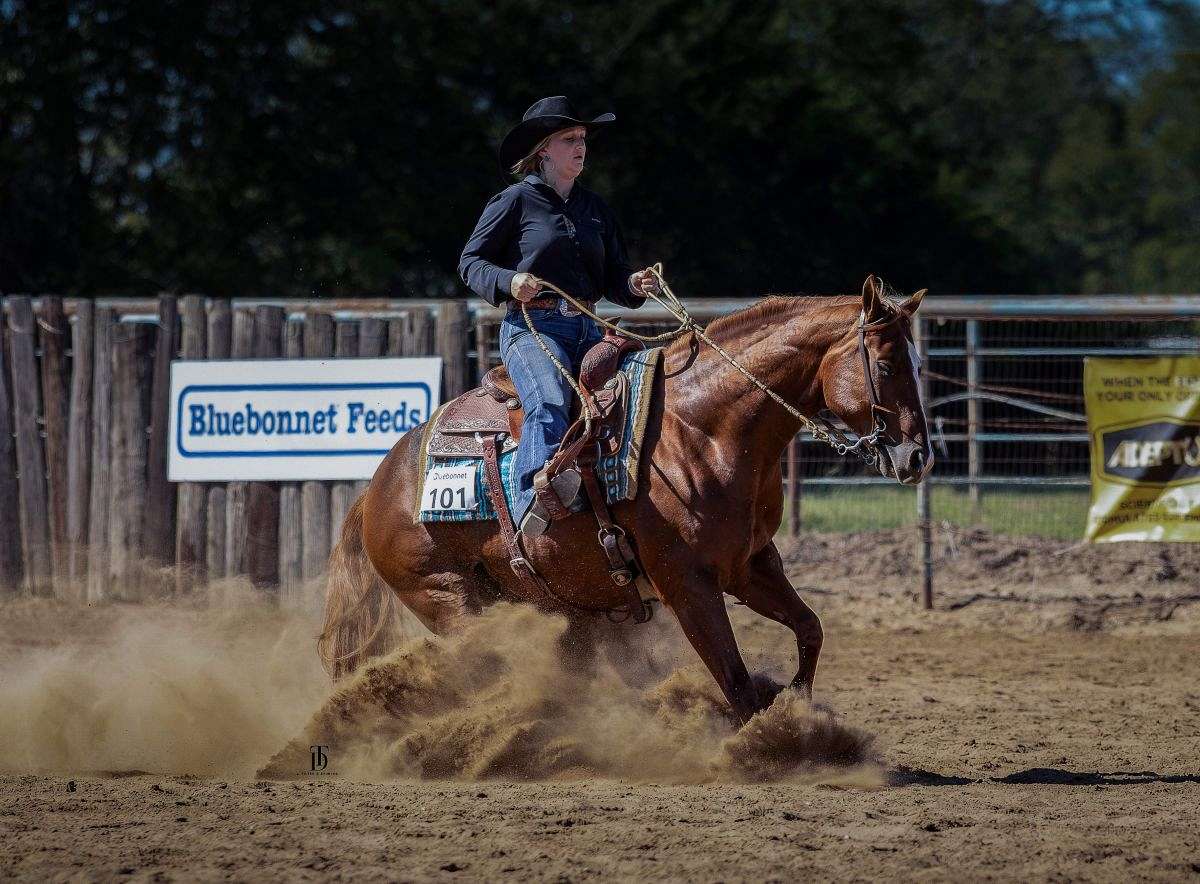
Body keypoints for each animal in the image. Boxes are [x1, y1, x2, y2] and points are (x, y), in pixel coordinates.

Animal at [318, 277, 933, 723]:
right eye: (885, 364)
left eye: (919, 363)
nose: (918, 457)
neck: (704, 426)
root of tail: (377, 487)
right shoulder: (685, 580)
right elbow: (734, 680)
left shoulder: (751, 564)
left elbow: (810, 628)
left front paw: (797, 706)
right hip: (447, 596)